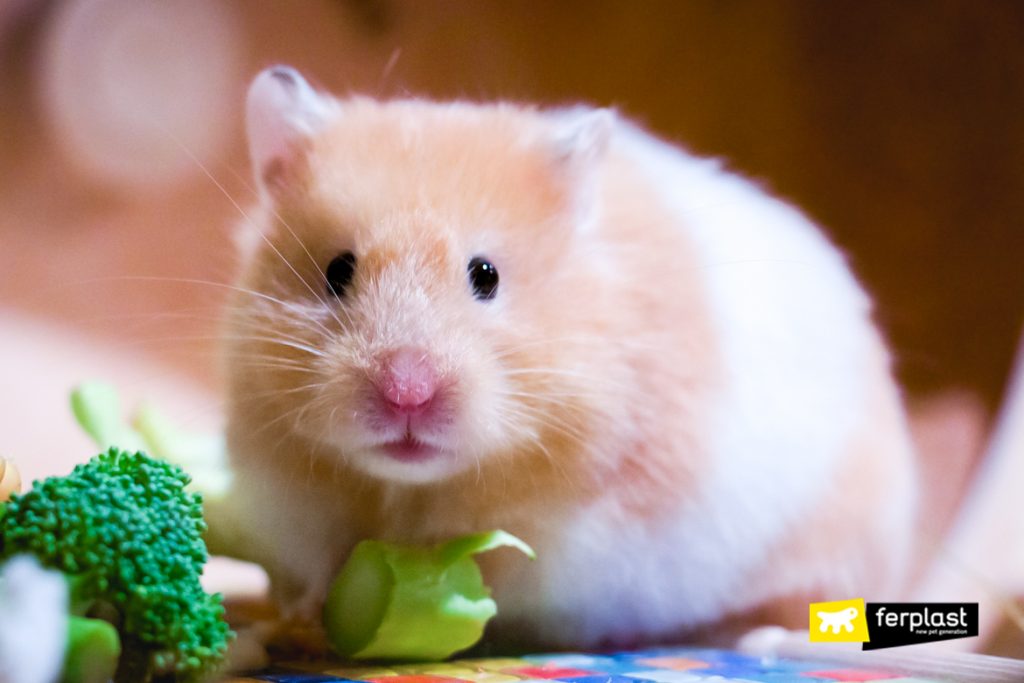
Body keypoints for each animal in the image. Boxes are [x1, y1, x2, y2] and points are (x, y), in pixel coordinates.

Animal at [215, 65, 918, 649]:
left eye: (486, 275)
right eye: (337, 271)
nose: (407, 394)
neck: (411, 489)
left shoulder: (590, 536)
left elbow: (505, 563)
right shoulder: (297, 501)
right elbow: (321, 561)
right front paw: (308, 615)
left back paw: (756, 639)